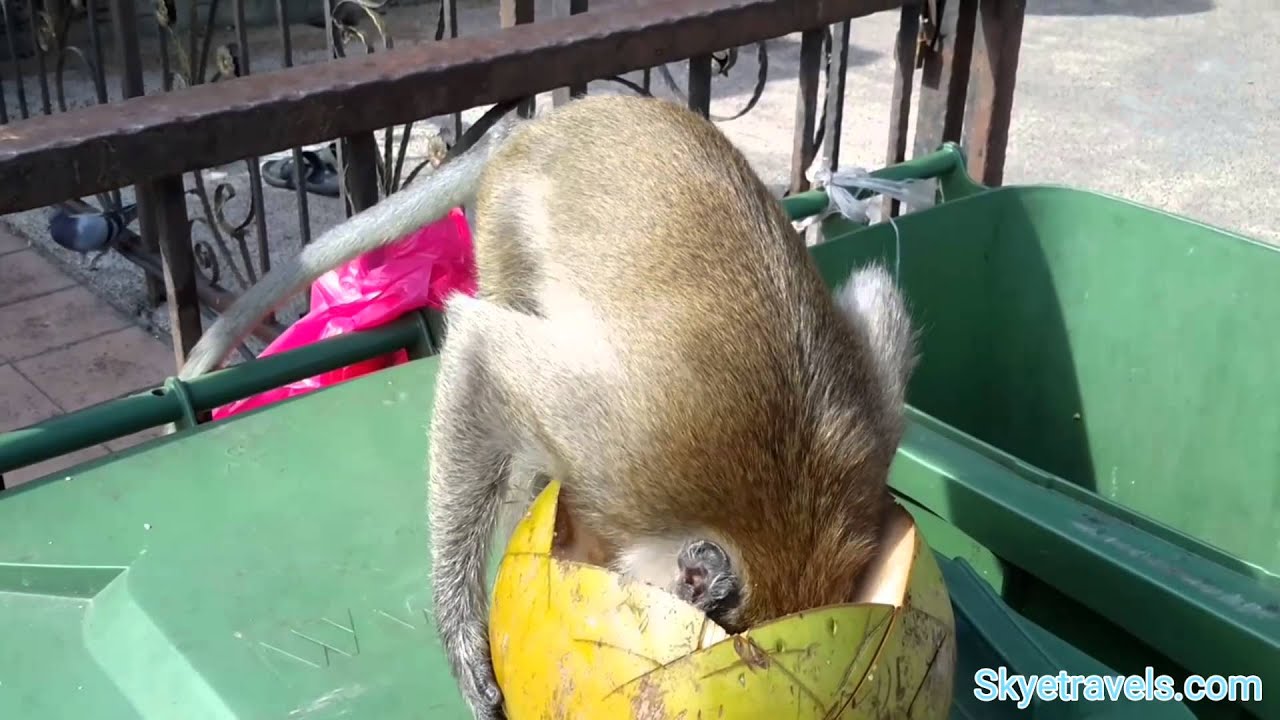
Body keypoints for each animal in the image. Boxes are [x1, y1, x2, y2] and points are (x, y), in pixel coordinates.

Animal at [175, 94, 917, 720]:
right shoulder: (624, 451)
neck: (781, 520)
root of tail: (542, 128)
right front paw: (463, 641)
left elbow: (879, 298)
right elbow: (480, 356)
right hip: (507, 225)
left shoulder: (871, 437)